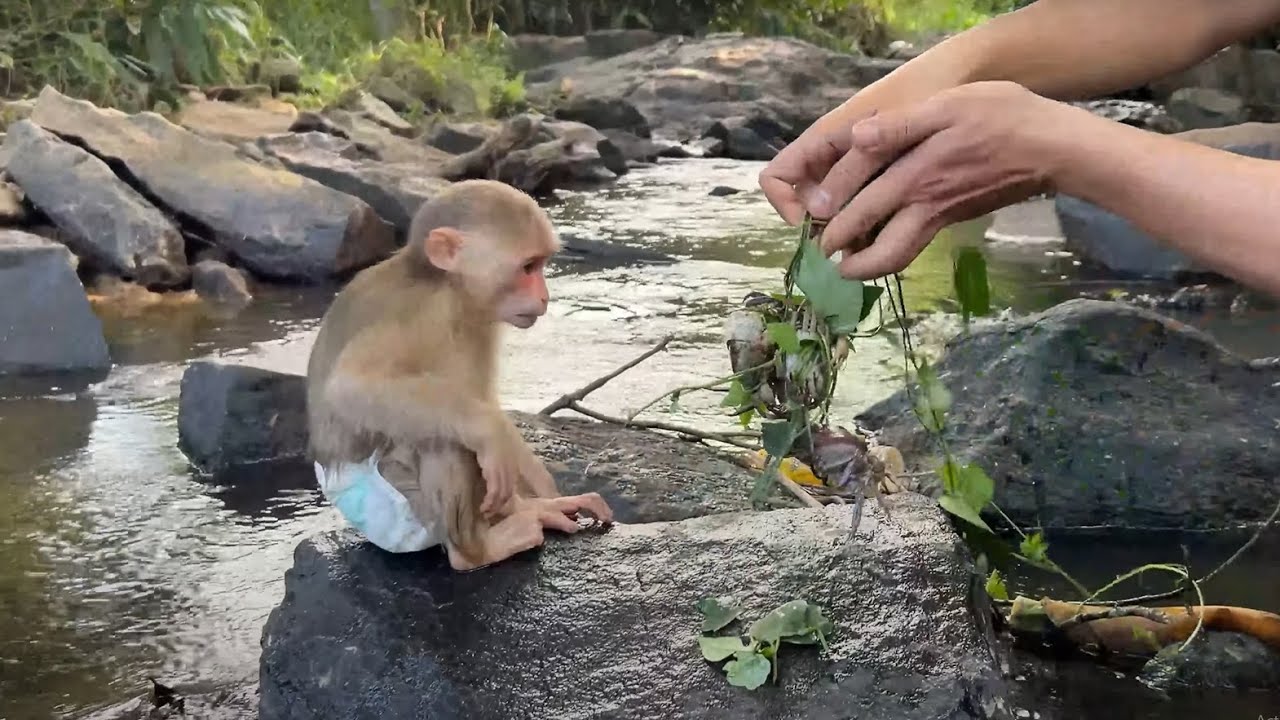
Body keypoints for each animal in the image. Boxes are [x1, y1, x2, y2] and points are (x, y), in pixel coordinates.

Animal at [306, 179, 614, 571]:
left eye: (541, 265)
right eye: (528, 267)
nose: (545, 297)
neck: (451, 290)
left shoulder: (481, 323)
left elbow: (482, 397)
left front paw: (535, 491)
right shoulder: (419, 313)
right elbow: (349, 387)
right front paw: (488, 431)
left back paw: (523, 510)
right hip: (385, 515)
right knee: (445, 442)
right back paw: (476, 551)